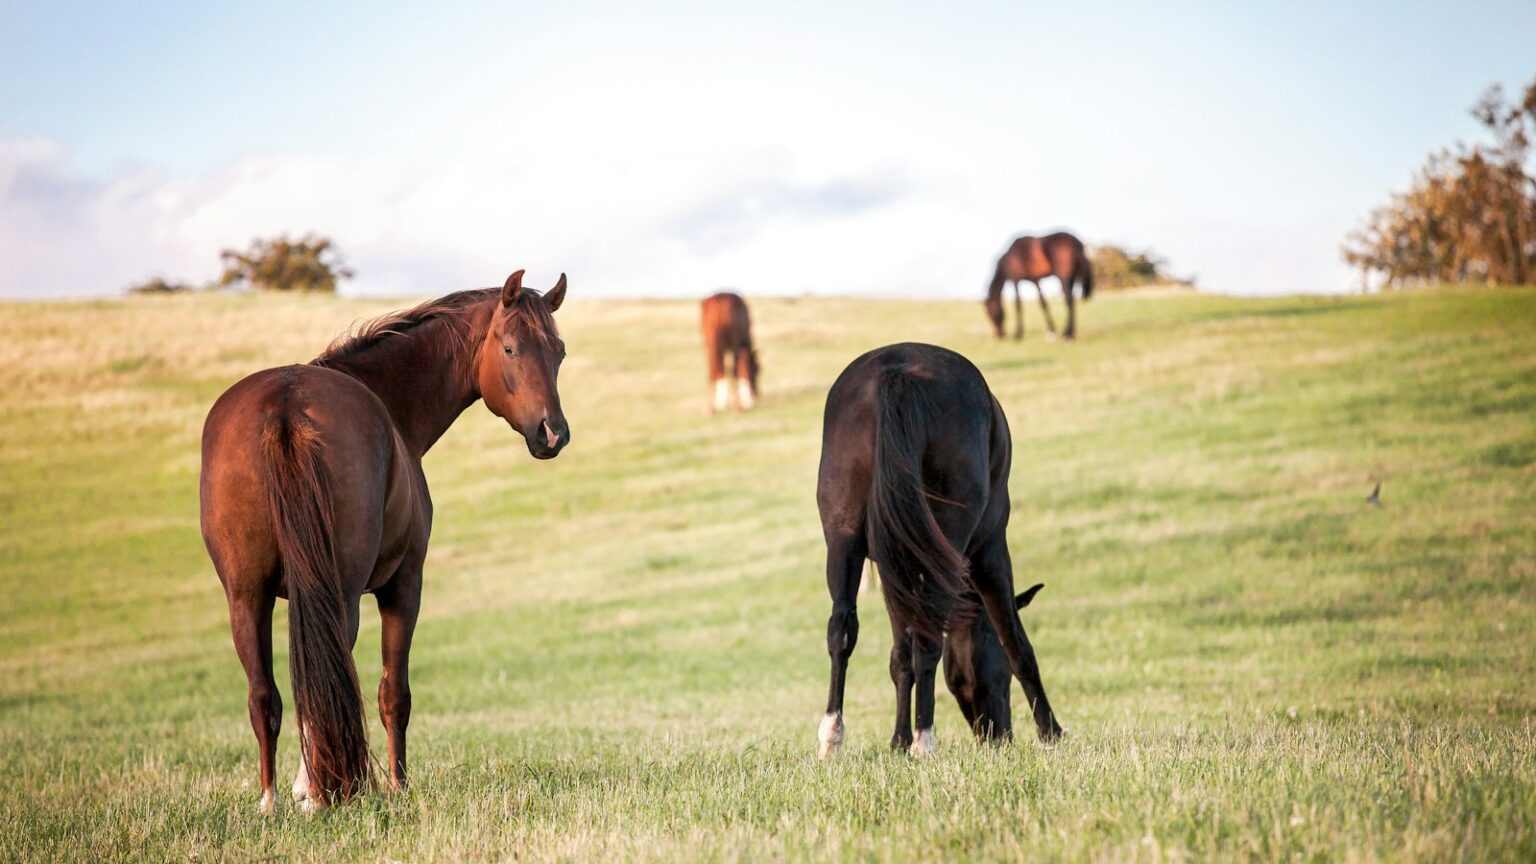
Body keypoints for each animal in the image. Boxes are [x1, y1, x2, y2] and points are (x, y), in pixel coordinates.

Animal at [200, 270, 570, 813]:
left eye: (559, 352)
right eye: (510, 348)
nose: (553, 433)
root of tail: (286, 406)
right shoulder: (404, 585)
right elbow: (394, 694)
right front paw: (396, 784)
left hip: (245, 596)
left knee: (265, 694)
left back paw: (273, 799)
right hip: (342, 591)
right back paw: (320, 792)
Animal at [815, 342, 1063, 758]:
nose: (999, 735)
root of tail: (896, 371)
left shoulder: (892, 569)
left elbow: (900, 655)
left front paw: (897, 740)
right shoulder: (990, 553)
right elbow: (1015, 641)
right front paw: (1050, 732)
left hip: (843, 540)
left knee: (842, 628)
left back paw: (832, 737)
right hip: (954, 542)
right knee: (930, 638)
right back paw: (924, 740)